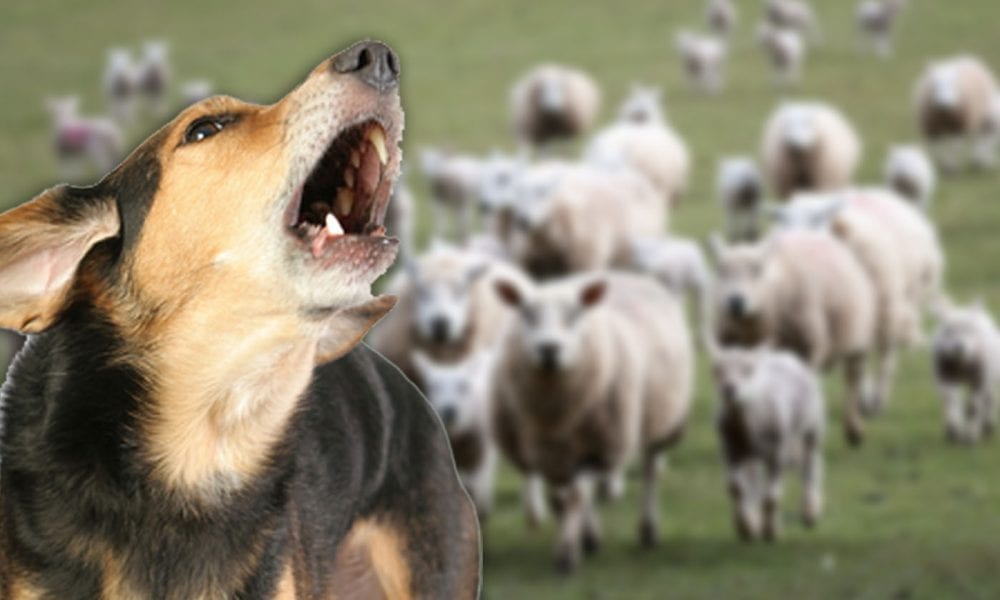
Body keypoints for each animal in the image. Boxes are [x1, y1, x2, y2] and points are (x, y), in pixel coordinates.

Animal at [490, 271, 693, 572]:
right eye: (527, 313)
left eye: (574, 315)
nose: (549, 349)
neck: (555, 412)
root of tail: (623, 274)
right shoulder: (546, 453)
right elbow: (560, 500)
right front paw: (586, 539)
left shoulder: (597, 448)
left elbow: (576, 496)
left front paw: (567, 555)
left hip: (661, 421)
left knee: (649, 472)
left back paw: (648, 530)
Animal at [710, 230, 876, 444]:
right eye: (721, 270)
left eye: (758, 270)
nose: (735, 301)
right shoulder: (730, 349)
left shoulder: (809, 349)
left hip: (857, 340)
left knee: (852, 379)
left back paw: (853, 429)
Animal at [711, 346, 825, 541]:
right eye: (717, 371)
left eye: (748, 370)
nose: (730, 389)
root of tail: (785, 355)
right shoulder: (730, 451)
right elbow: (735, 488)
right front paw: (747, 526)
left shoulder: (777, 454)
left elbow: (771, 498)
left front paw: (771, 531)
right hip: (753, 452)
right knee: (754, 479)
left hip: (812, 427)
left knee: (811, 463)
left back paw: (810, 511)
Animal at [932, 300, 1000, 444]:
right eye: (949, 330)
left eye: (970, 330)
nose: (959, 347)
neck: (961, 364)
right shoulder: (945, 376)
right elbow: (950, 400)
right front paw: (953, 431)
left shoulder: (980, 377)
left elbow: (974, 407)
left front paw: (971, 436)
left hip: (988, 375)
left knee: (988, 398)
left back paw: (988, 426)